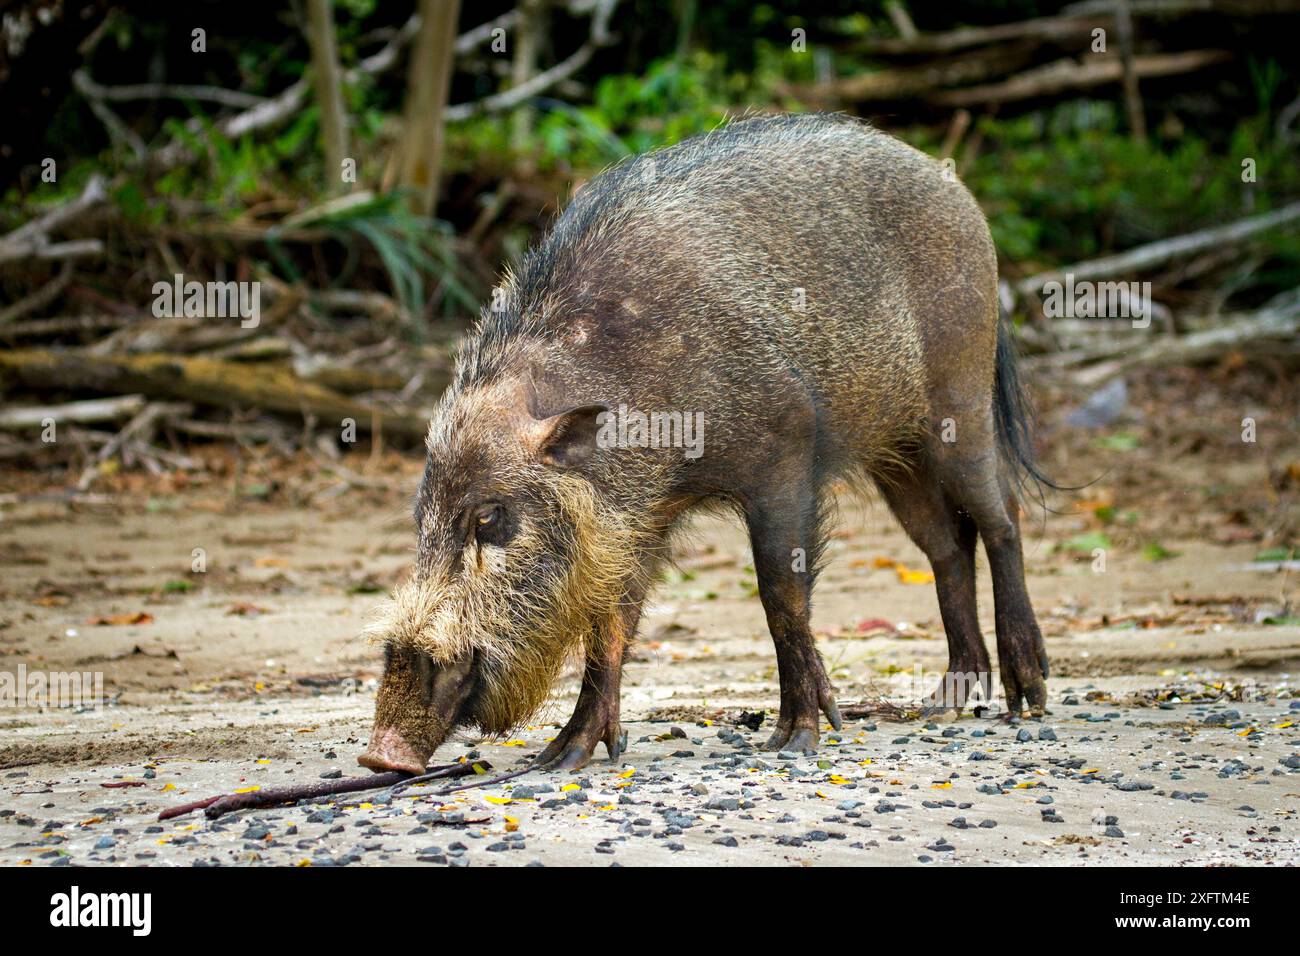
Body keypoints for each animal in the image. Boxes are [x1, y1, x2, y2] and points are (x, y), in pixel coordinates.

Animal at [359, 112, 1051, 775]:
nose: (381, 753)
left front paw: (795, 740)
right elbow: (609, 625)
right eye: (420, 519)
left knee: (1001, 517)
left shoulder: (784, 454)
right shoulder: (635, 519)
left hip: (959, 403)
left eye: (489, 518)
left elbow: (780, 596)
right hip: (896, 454)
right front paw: (561, 758)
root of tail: (955, 187)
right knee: (946, 545)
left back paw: (1027, 698)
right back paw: (945, 704)